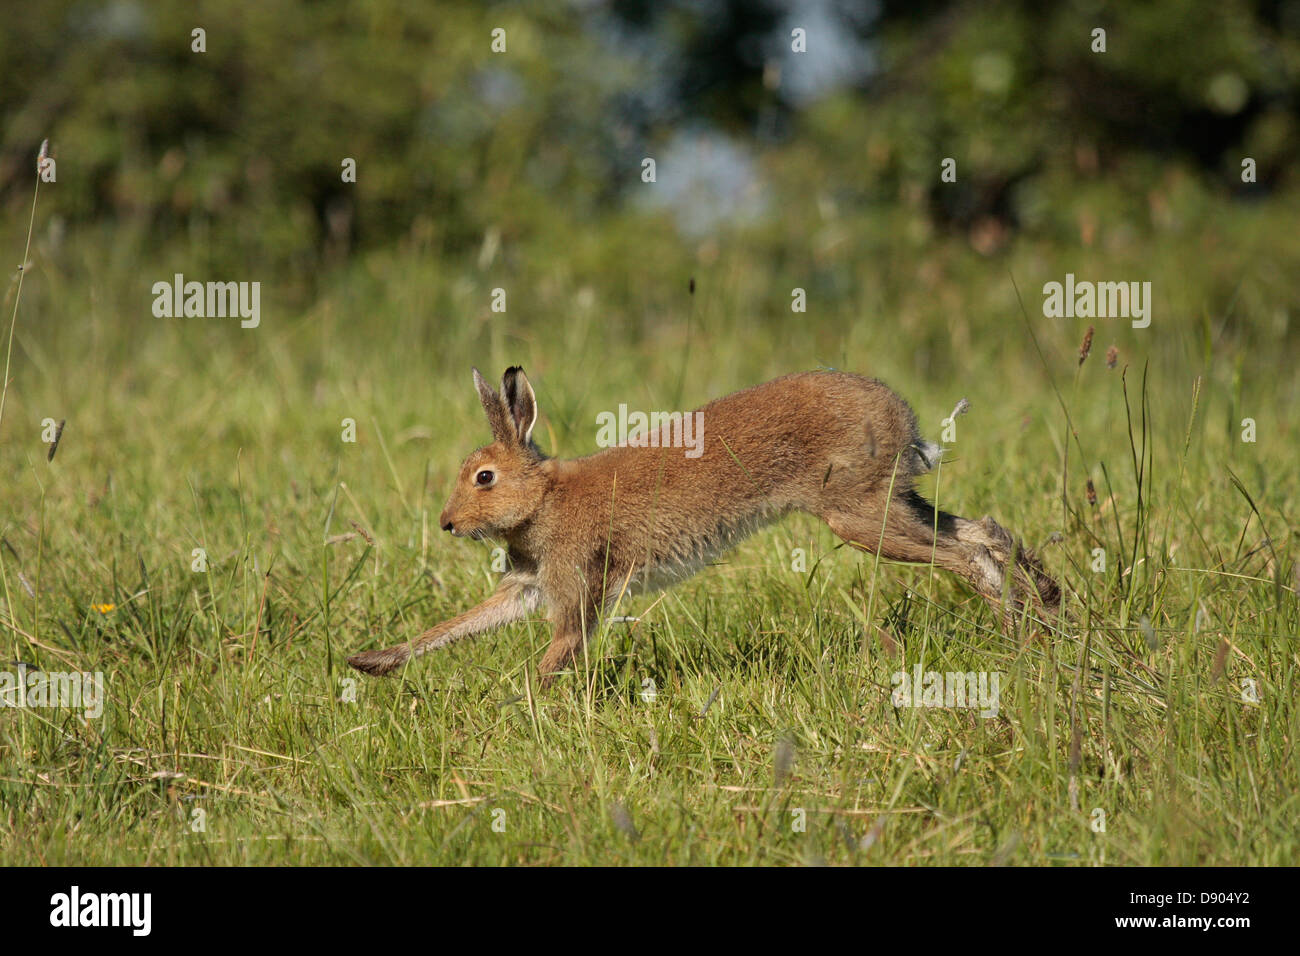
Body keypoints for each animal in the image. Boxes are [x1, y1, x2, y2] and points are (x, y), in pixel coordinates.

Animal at [347, 366, 1060, 683]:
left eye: (484, 479)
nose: (446, 523)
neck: (543, 496)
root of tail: (899, 416)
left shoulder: (573, 586)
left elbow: (560, 646)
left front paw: (517, 700)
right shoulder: (529, 585)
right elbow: (457, 625)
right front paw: (374, 662)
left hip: (858, 513)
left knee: (965, 557)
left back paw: (1017, 636)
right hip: (889, 503)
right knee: (983, 533)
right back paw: (1046, 608)